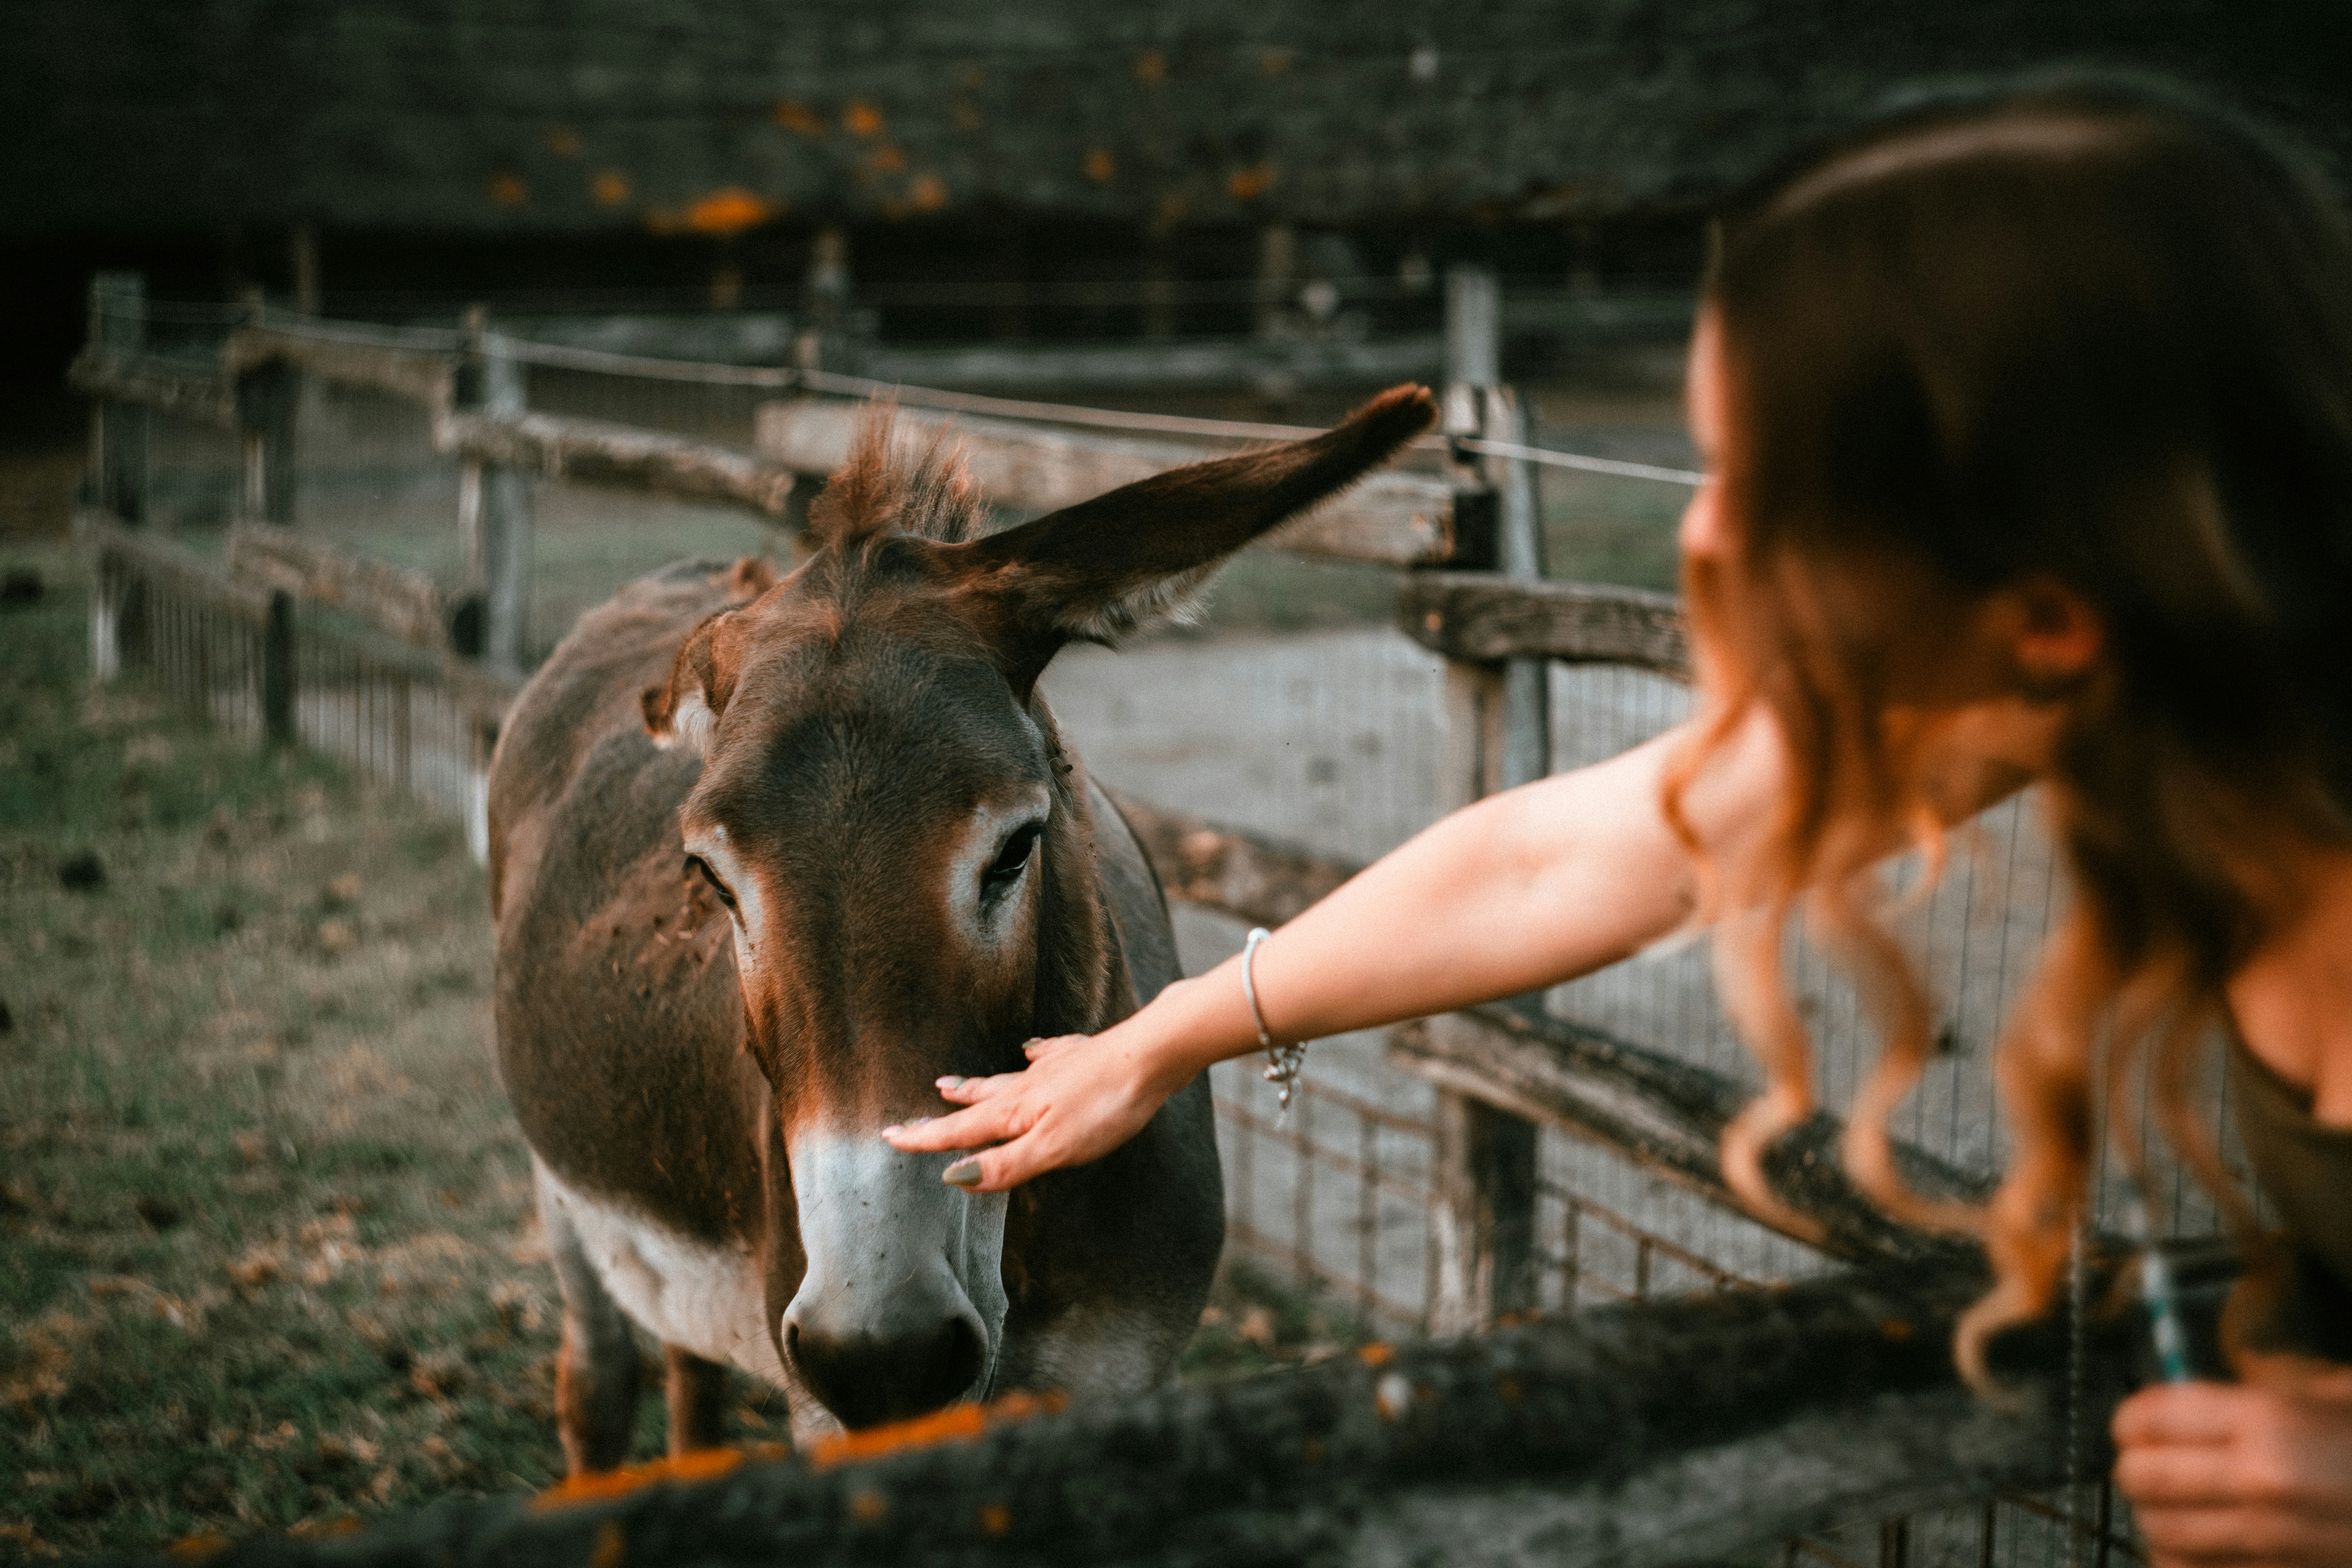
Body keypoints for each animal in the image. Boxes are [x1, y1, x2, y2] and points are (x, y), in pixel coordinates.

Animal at [486, 384, 1437, 1464]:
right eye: (713, 880)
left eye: (1016, 848)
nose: (882, 1354)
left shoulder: (1120, 1370)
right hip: (565, 1193)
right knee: (598, 1381)